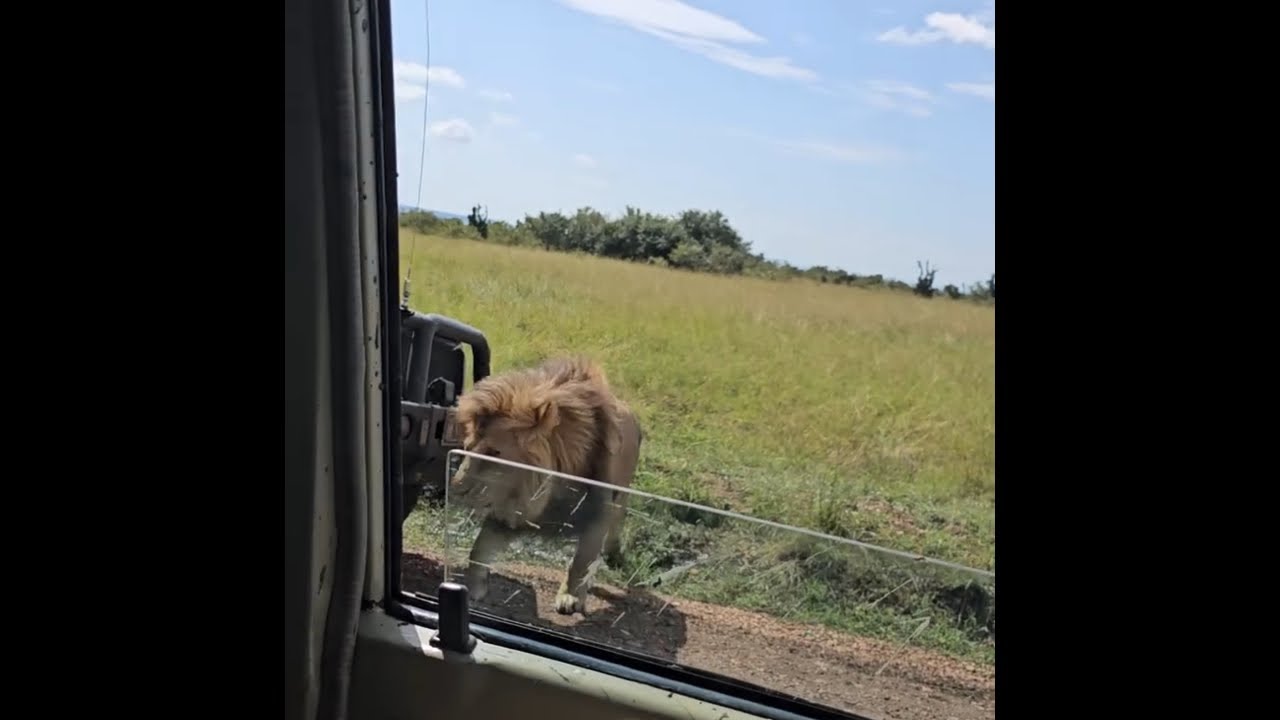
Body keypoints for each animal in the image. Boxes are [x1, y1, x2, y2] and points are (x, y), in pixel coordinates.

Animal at [449, 355, 643, 615]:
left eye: (494, 452)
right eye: (467, 448)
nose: (456, 489)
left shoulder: (597, 512)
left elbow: (582, 559)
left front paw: (570, 596)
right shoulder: (512, 515)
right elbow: (480, 546)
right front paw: (472, 587)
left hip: (619, 500)